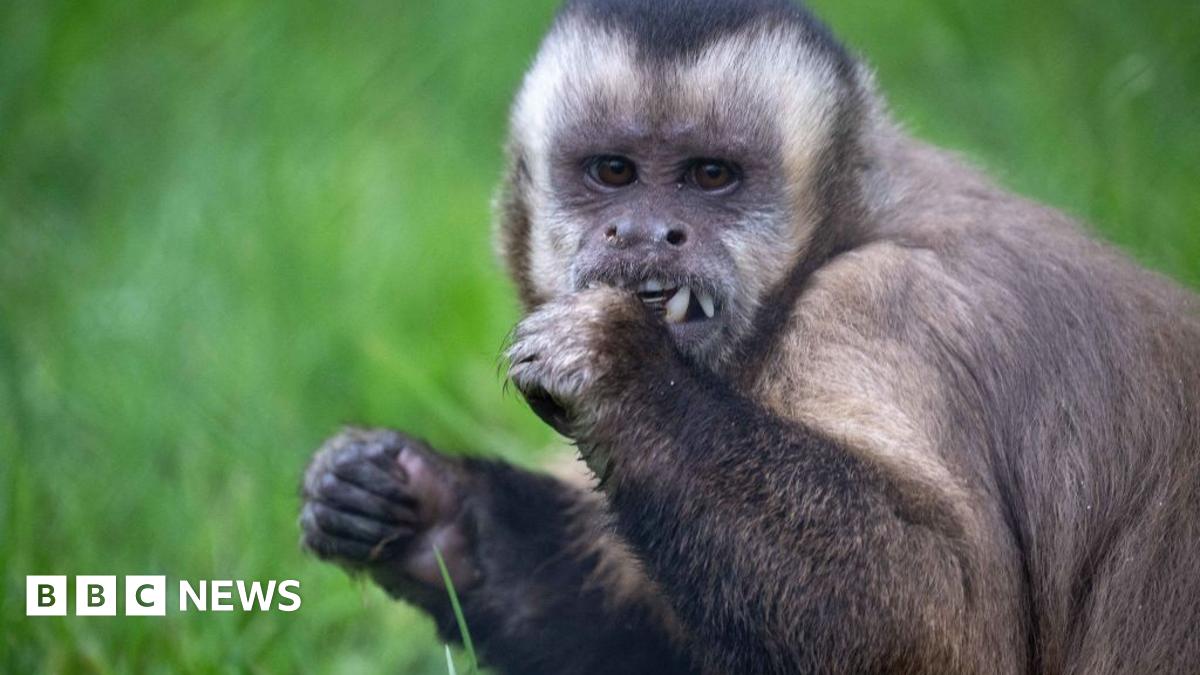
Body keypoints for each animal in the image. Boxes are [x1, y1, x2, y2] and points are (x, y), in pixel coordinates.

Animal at [299, 0, 1200, 673]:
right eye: (614, 172)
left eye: (710, 176)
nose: (646, 232)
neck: (842, 236)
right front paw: (427, 512)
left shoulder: (890, 304)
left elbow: (941, 624)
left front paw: (616, 369)